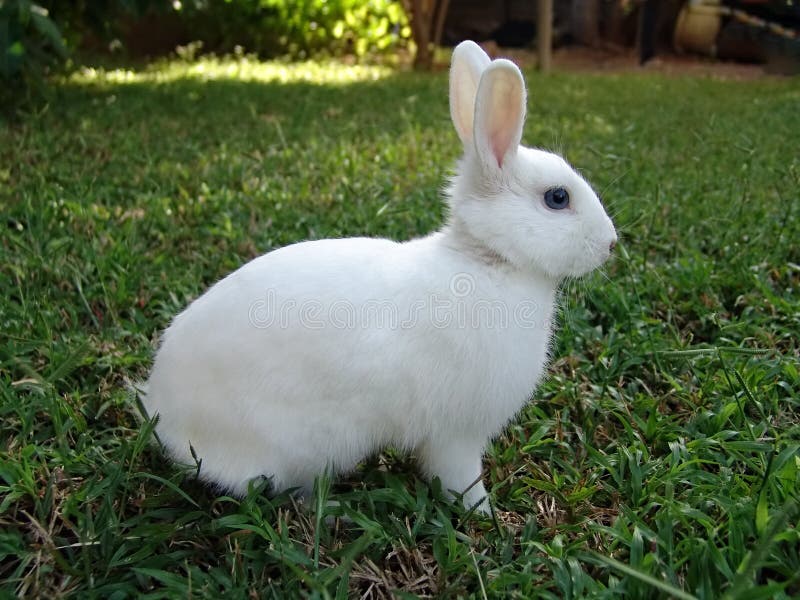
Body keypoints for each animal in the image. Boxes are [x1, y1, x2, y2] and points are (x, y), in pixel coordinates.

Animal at [142, 40, 617, 514]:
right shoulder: (455, 435)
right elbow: (460, 478)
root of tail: (165, 415)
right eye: (558, 198)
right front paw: (482, 511)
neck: (488, 260)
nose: (611, 243)